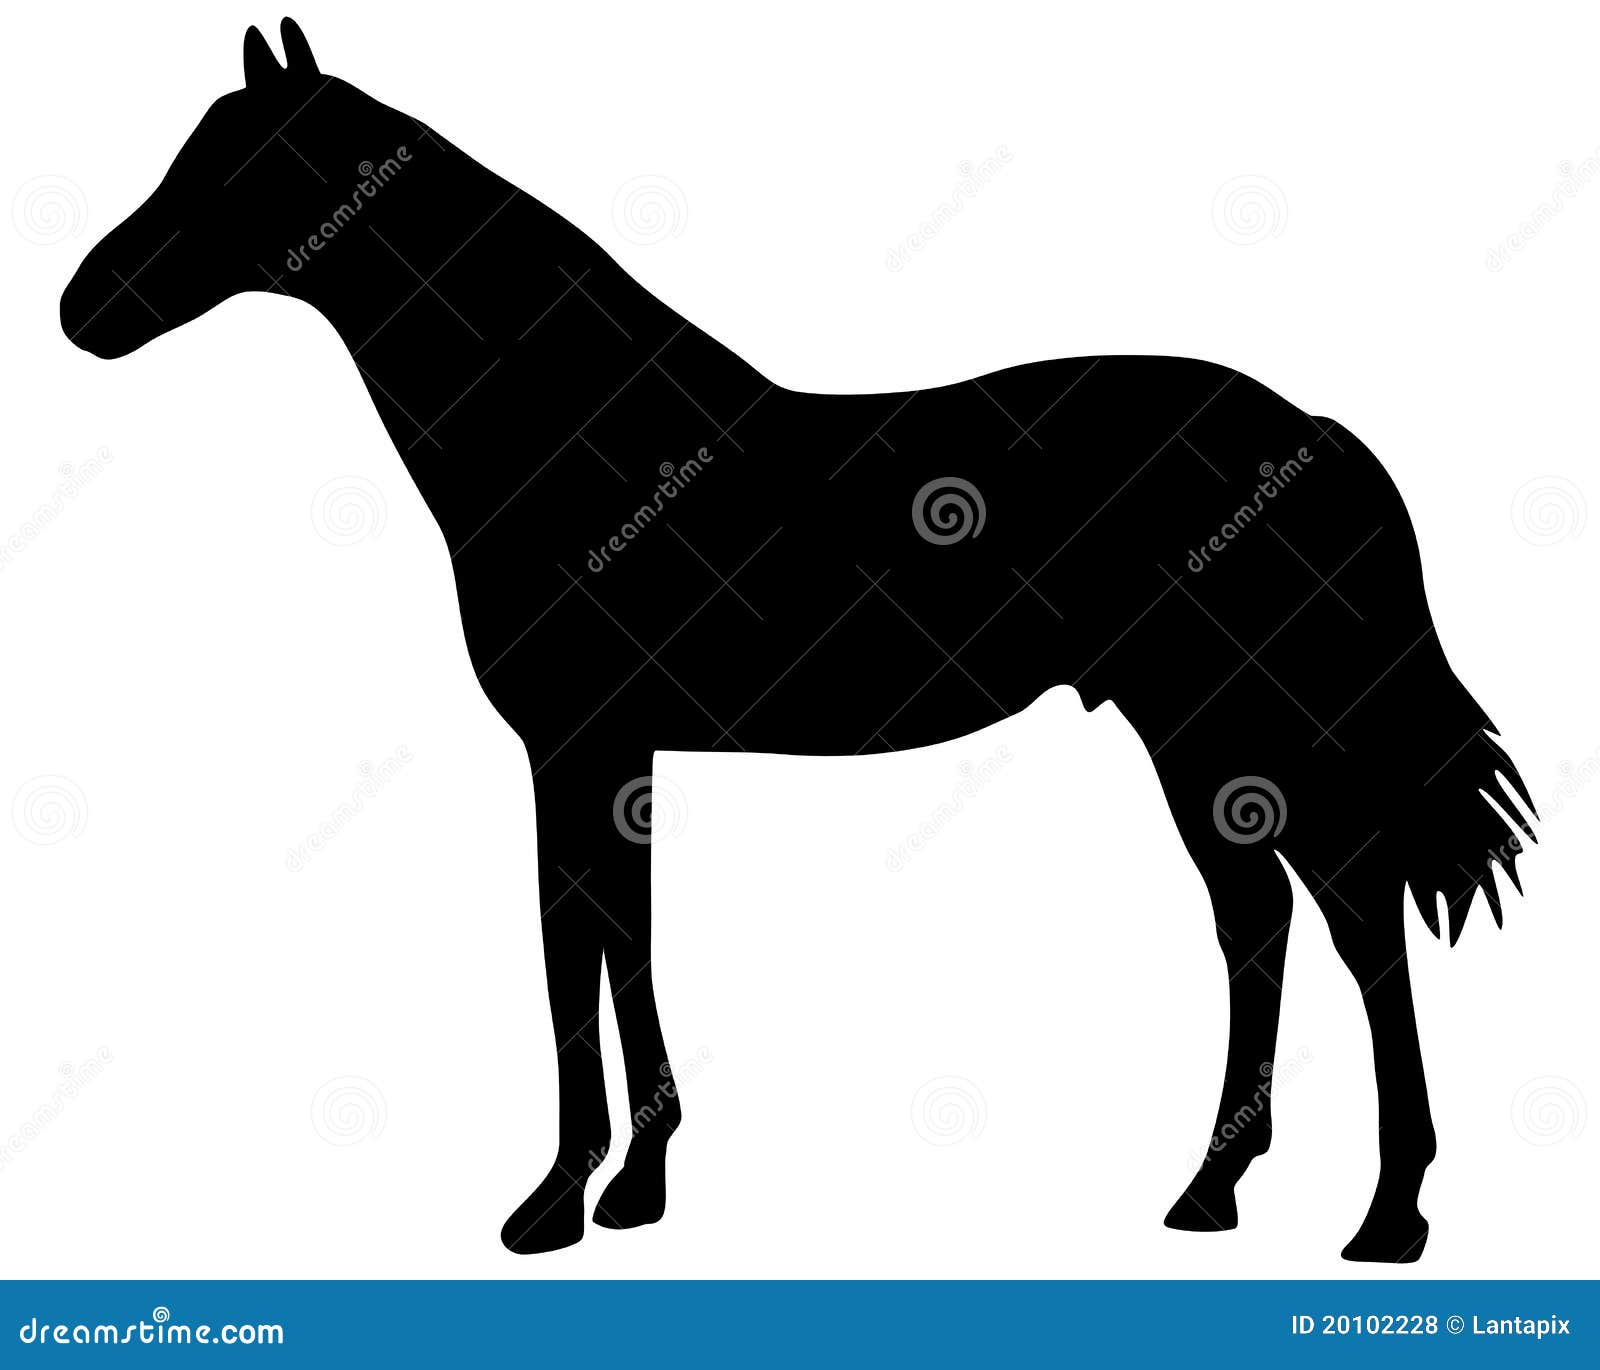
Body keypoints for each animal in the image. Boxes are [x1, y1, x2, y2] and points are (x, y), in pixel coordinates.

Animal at [60, 19, 1535, 1261]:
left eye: (240, 171)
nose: (82, 307)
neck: (576, 436)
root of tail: (1311, 434)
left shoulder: (573, 743)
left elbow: (575, 945)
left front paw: (561, 1200)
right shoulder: (613, 751)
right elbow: (620, 936)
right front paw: (629, 1184)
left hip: (1241, 719)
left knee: (1354, 919)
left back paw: (1387, 1214)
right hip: (1202, 730)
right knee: (1263, 919)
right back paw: (1212, 1190)